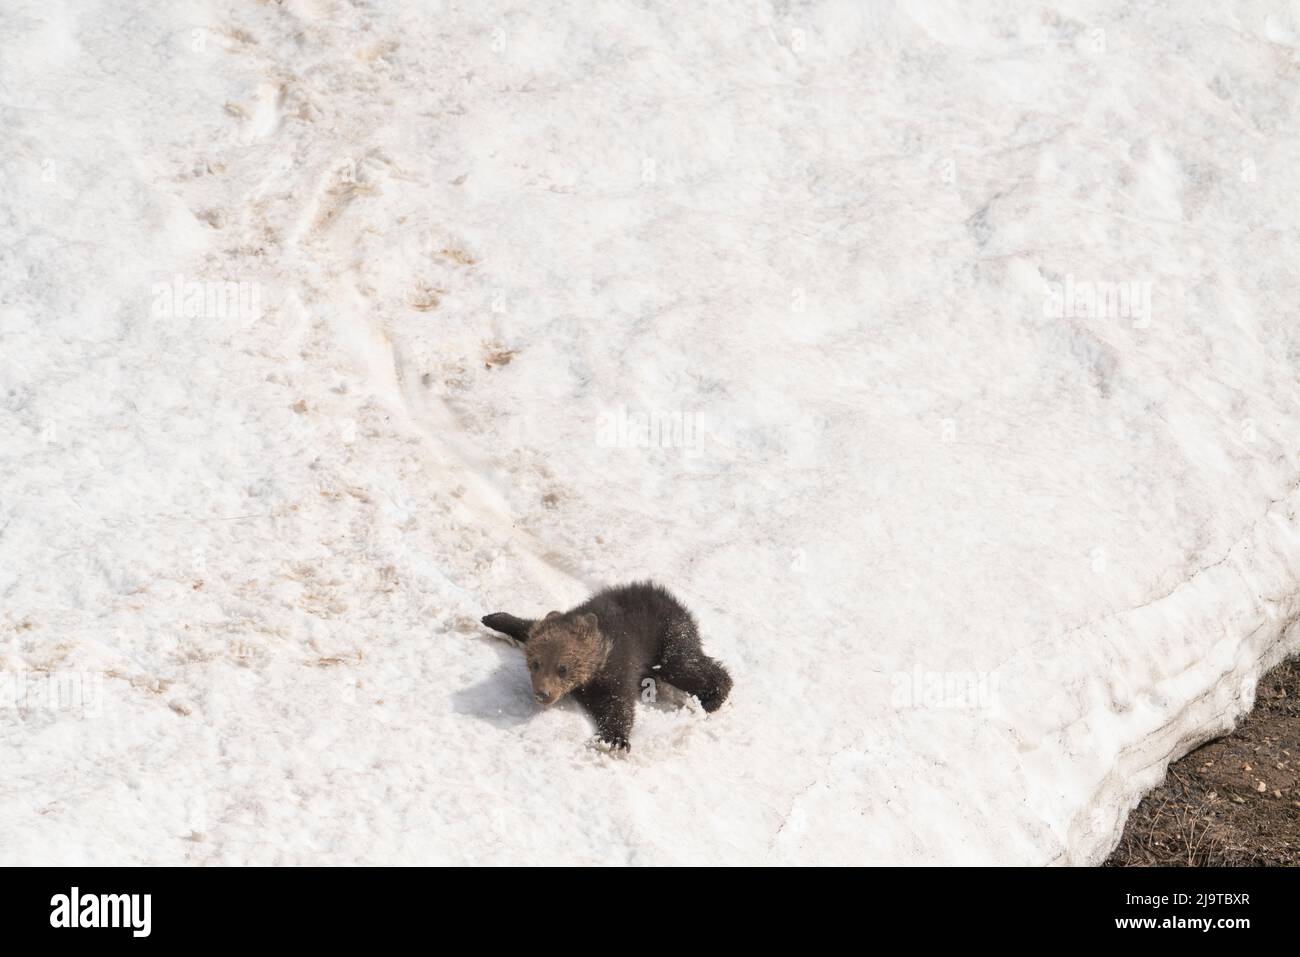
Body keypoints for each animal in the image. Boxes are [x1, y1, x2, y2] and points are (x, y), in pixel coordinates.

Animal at [481, 581, 732, 751]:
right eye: (535, 663)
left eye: (563, 668)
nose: (543, 693)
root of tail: (671, 598)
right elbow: (528, 624)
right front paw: (494, 617)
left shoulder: (618, 665)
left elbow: (619, 704)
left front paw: (614, 739)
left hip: (669, 635)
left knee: (685, 664)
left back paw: (713, 697)